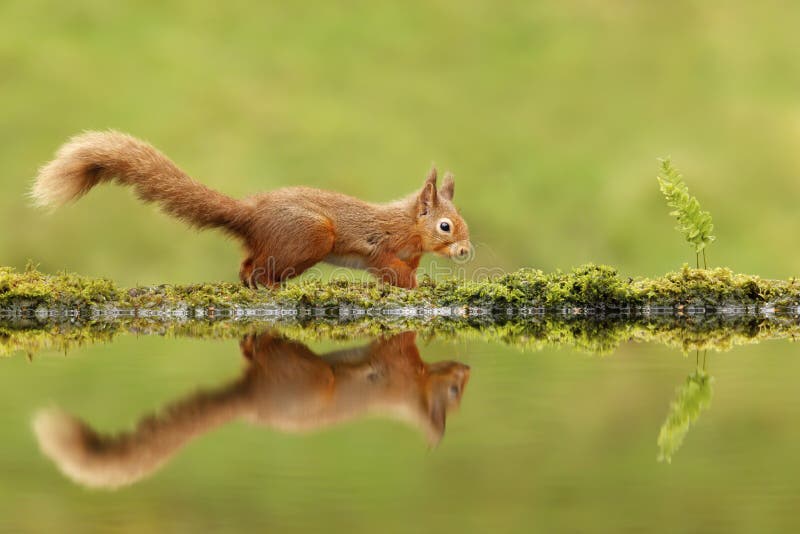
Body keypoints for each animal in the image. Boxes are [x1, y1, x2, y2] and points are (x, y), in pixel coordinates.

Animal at [32, 131, 471, 288]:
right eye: (445, 226)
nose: (467, 252)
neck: (409, 228)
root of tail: (252, 214)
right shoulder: (379, 245)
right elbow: (388, 269)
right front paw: (413, 287)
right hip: (312, 237)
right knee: (258, 269)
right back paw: (271, 287)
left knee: (246, 265)